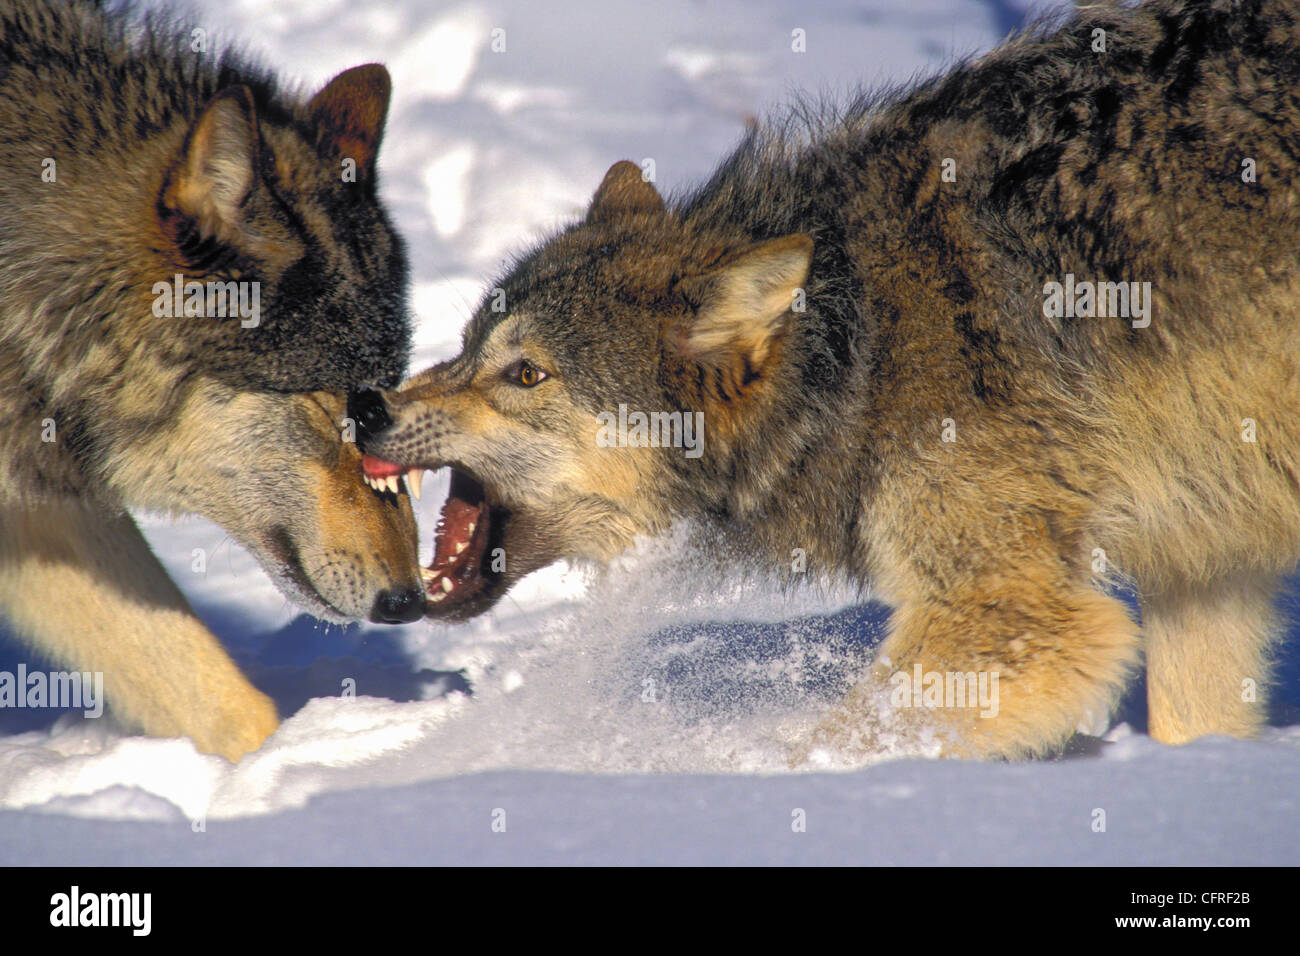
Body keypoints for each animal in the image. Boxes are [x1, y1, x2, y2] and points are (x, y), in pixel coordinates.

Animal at [356, 0, 1300, 760]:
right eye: (467, 346)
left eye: (526, 374)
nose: (364, 406)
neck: (862, 353)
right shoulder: (1202, 570)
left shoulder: (1015, 619)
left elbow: (822, 746)